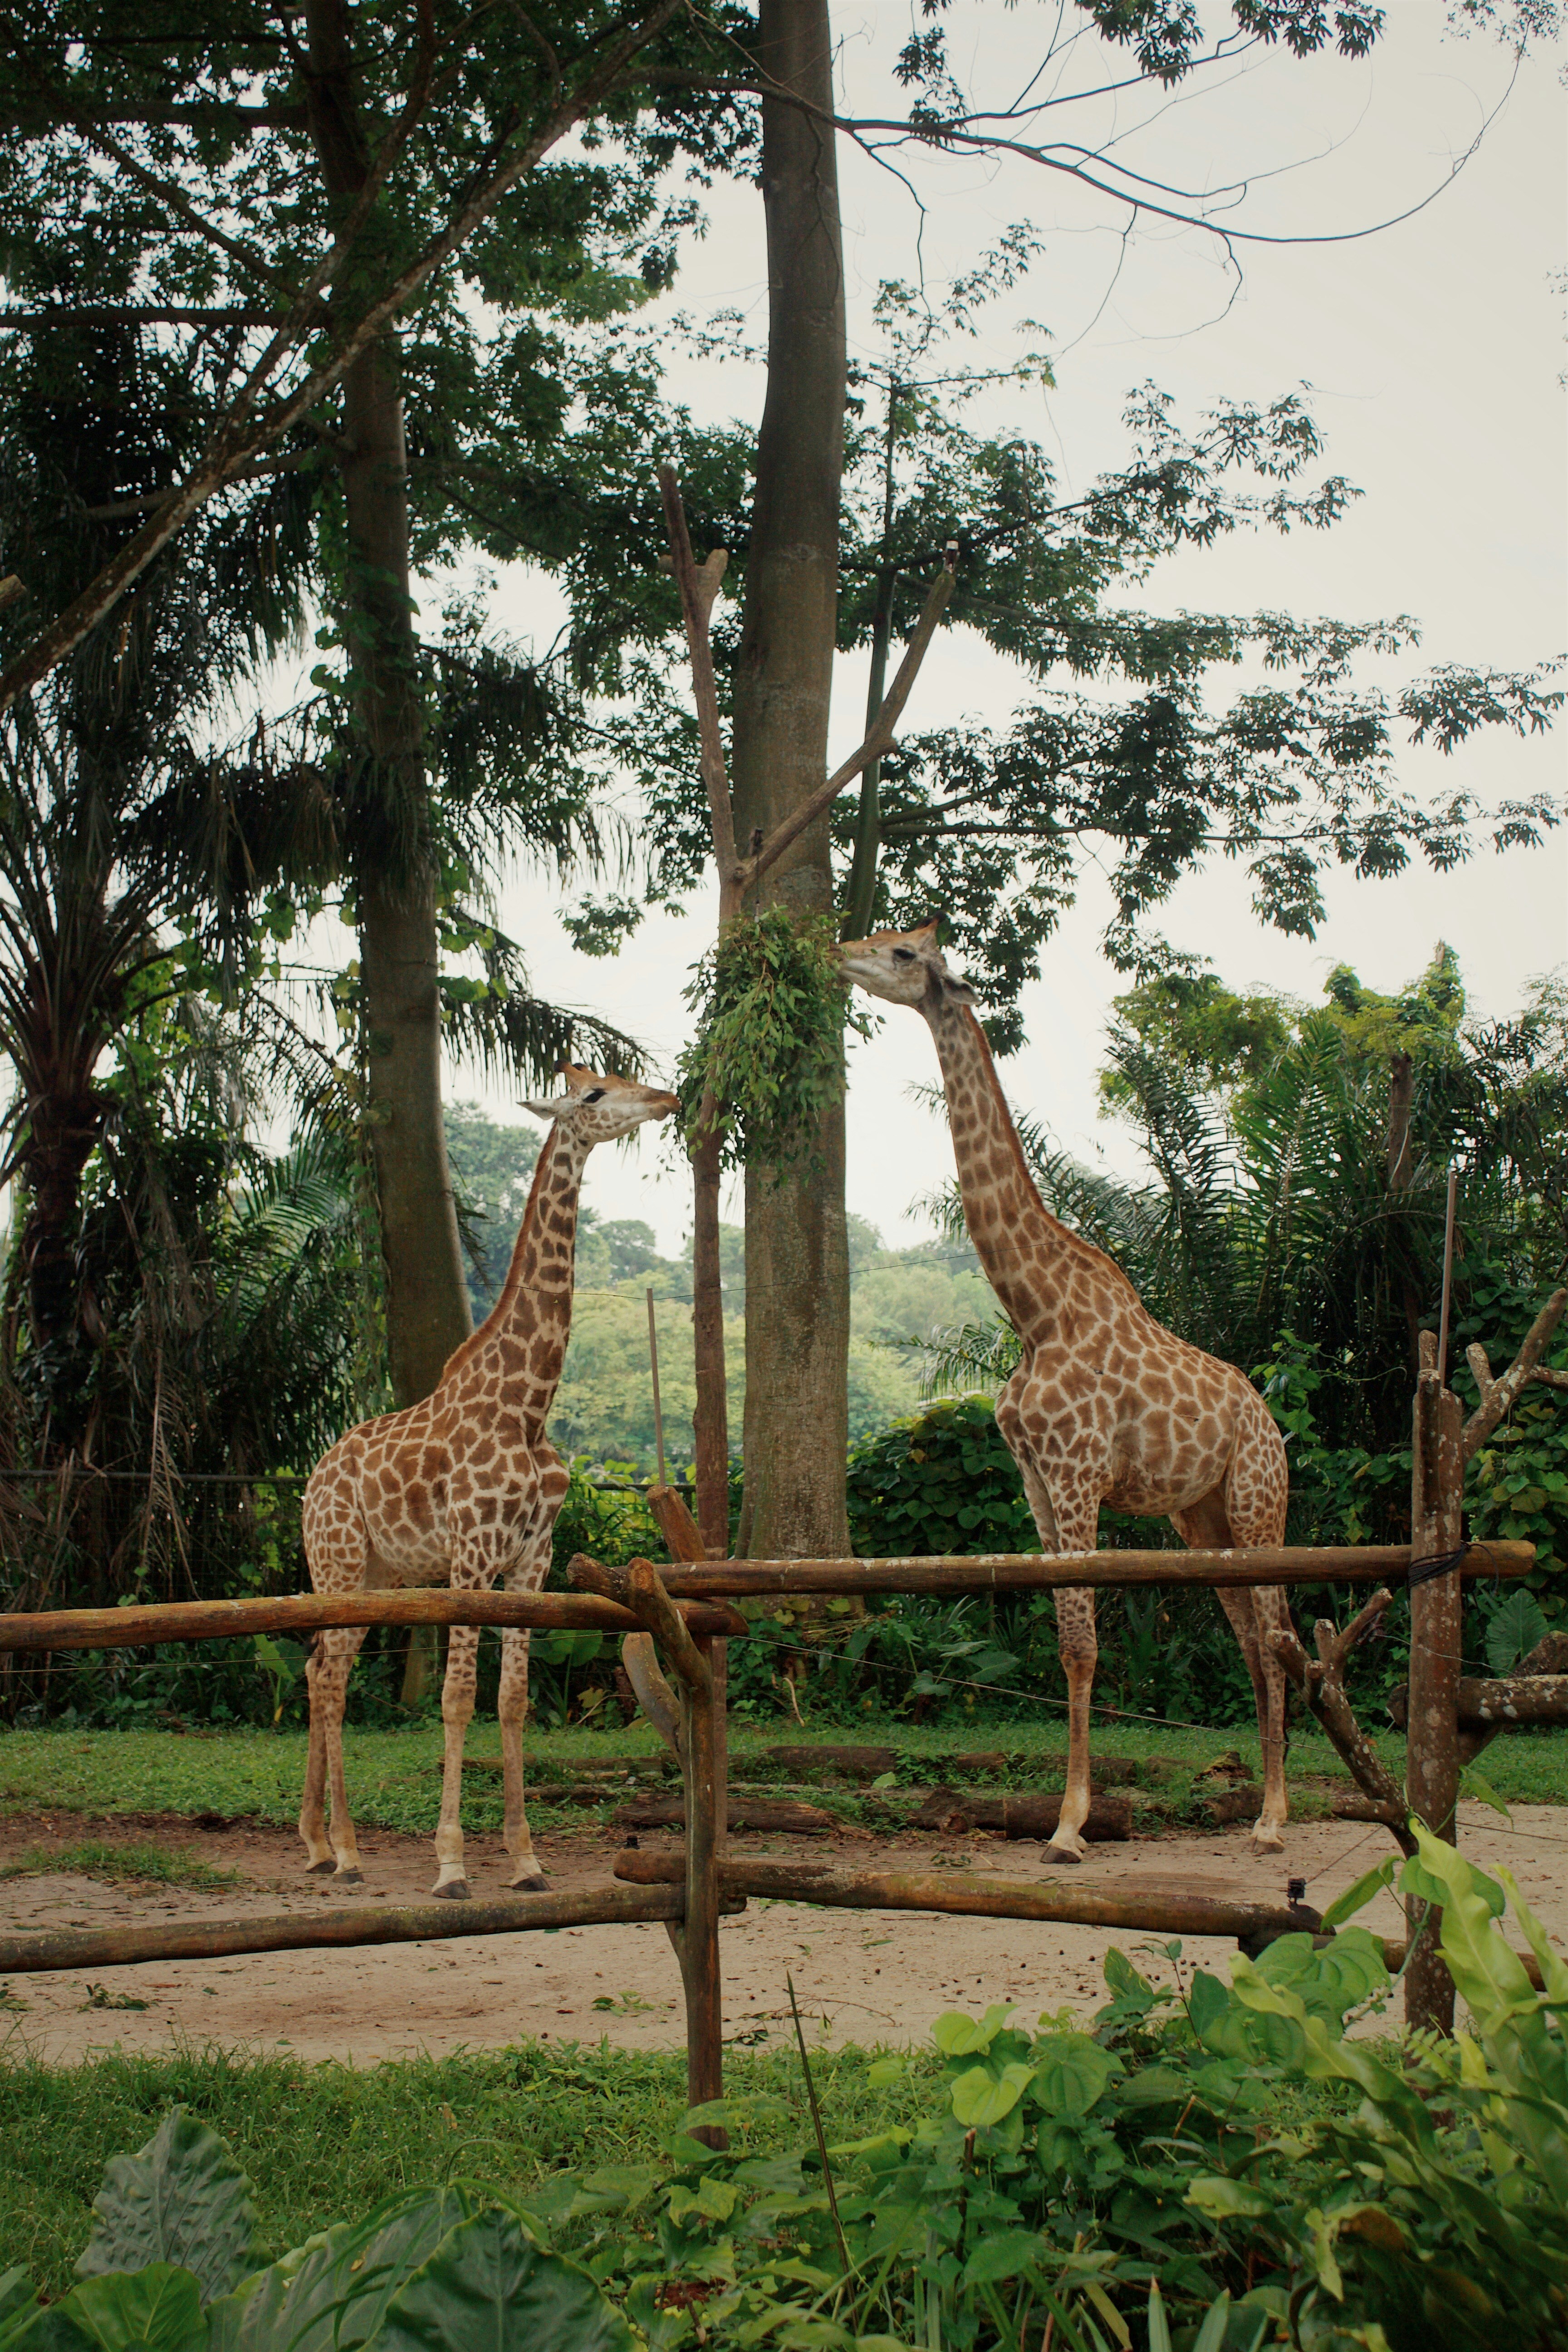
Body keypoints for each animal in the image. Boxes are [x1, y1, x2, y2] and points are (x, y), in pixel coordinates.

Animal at [298, 1066, 679, 1898]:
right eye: (593, 1093)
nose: (665, 1097)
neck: (529, 1407)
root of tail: (312, 1480)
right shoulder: (471, 1553)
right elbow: (456, 1697)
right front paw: (450, 1864)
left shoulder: (532, 1558)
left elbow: (510, 1700)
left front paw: (526, 1859)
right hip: (337, 1560)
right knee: (333, 1675)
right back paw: (346, 1850)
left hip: (374, 1574)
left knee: (317, 1665)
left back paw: (314, 1841)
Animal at [840, 923, 1292, 1864]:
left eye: (902, 952)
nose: (838, 952)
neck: (1034, 1312)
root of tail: (1269, 1421)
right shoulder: (1038, 1484)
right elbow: (1061, 1641)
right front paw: (1067, 1813)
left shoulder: (1079, 1471)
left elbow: (1084, 1644)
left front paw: (1070, 1825)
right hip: (1201, 1516)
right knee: (1247, 1632)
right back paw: (1263, 1808)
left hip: (1257, 1500)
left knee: (1274, 1634)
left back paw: (1274, 1817)